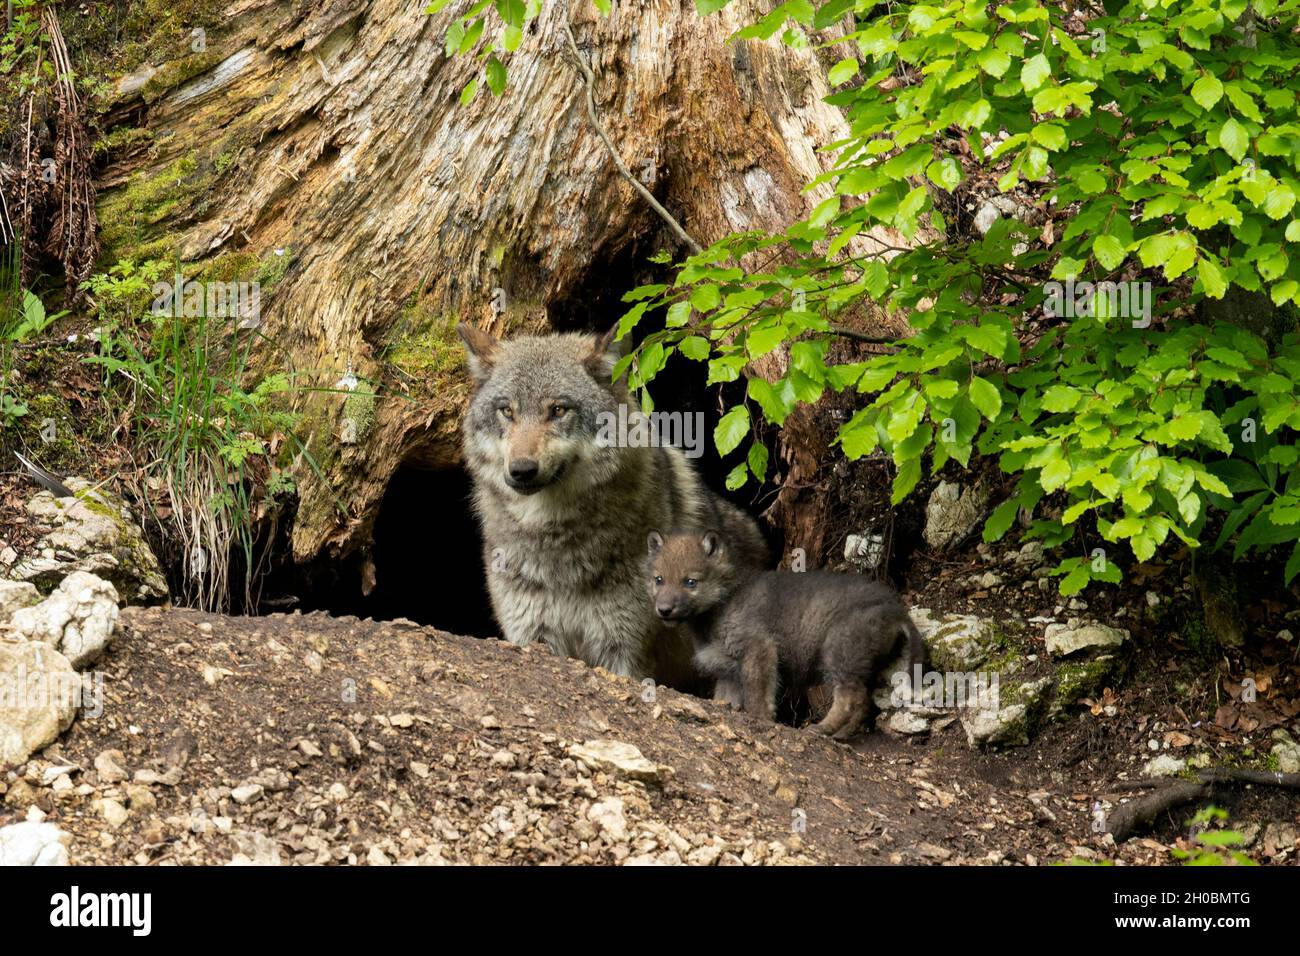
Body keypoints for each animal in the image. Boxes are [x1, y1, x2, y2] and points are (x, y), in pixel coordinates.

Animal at [458, 323, 766, 685]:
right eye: (507, 411)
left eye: (558, 410)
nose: (521, 470)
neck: (556, 545)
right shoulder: (533, 636)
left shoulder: (624, 652)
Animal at [645, 528, 924, 739]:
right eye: (659, 580)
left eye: (690, 582)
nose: (664, 610)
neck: (721, 606)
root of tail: (895, 608)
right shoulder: (727, 670)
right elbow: (725, 699)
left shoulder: (760, 649)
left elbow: (758, 696)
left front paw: (761, 720)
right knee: (863, 703)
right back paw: (841, 735)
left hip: (839, 653)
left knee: (850, 698)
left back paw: (822, 729)